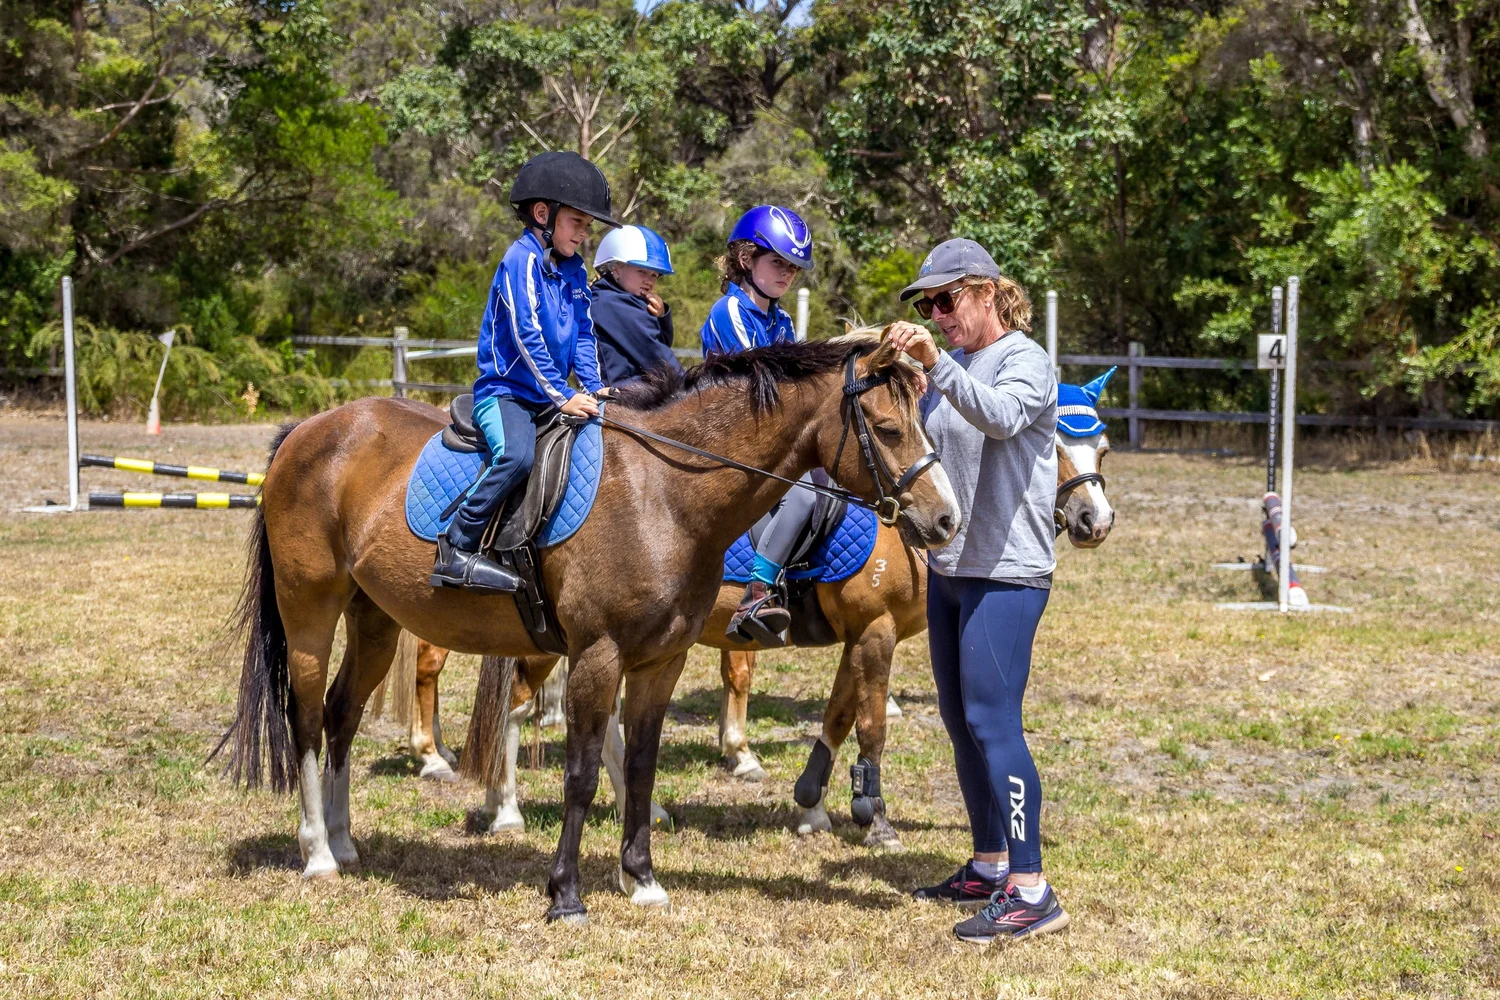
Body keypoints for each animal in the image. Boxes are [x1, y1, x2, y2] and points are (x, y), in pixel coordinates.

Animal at [212, 334, 959, 924]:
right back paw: (317, 851)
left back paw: (344, 842)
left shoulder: (661, 661)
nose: (946, 520)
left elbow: (643, 765)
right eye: (888, 429)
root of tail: (309, 430)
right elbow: (580, 774)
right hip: (311, 610)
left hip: (375, 621)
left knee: (343, 715)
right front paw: (566, 895)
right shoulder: (600, 655)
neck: (665, 492)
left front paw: (643, 878)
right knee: (309, 717)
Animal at [398, 385, 1115, 849]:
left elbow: (836, 715)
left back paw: (642, 808)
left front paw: (811, 806)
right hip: (556, 640)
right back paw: (499, 805)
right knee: (515, 707)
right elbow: (872, 725)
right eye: (1049, 442)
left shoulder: (856, 638)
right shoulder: (876, 633)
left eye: (1103, 449)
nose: (1095, 521)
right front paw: (875, 819)